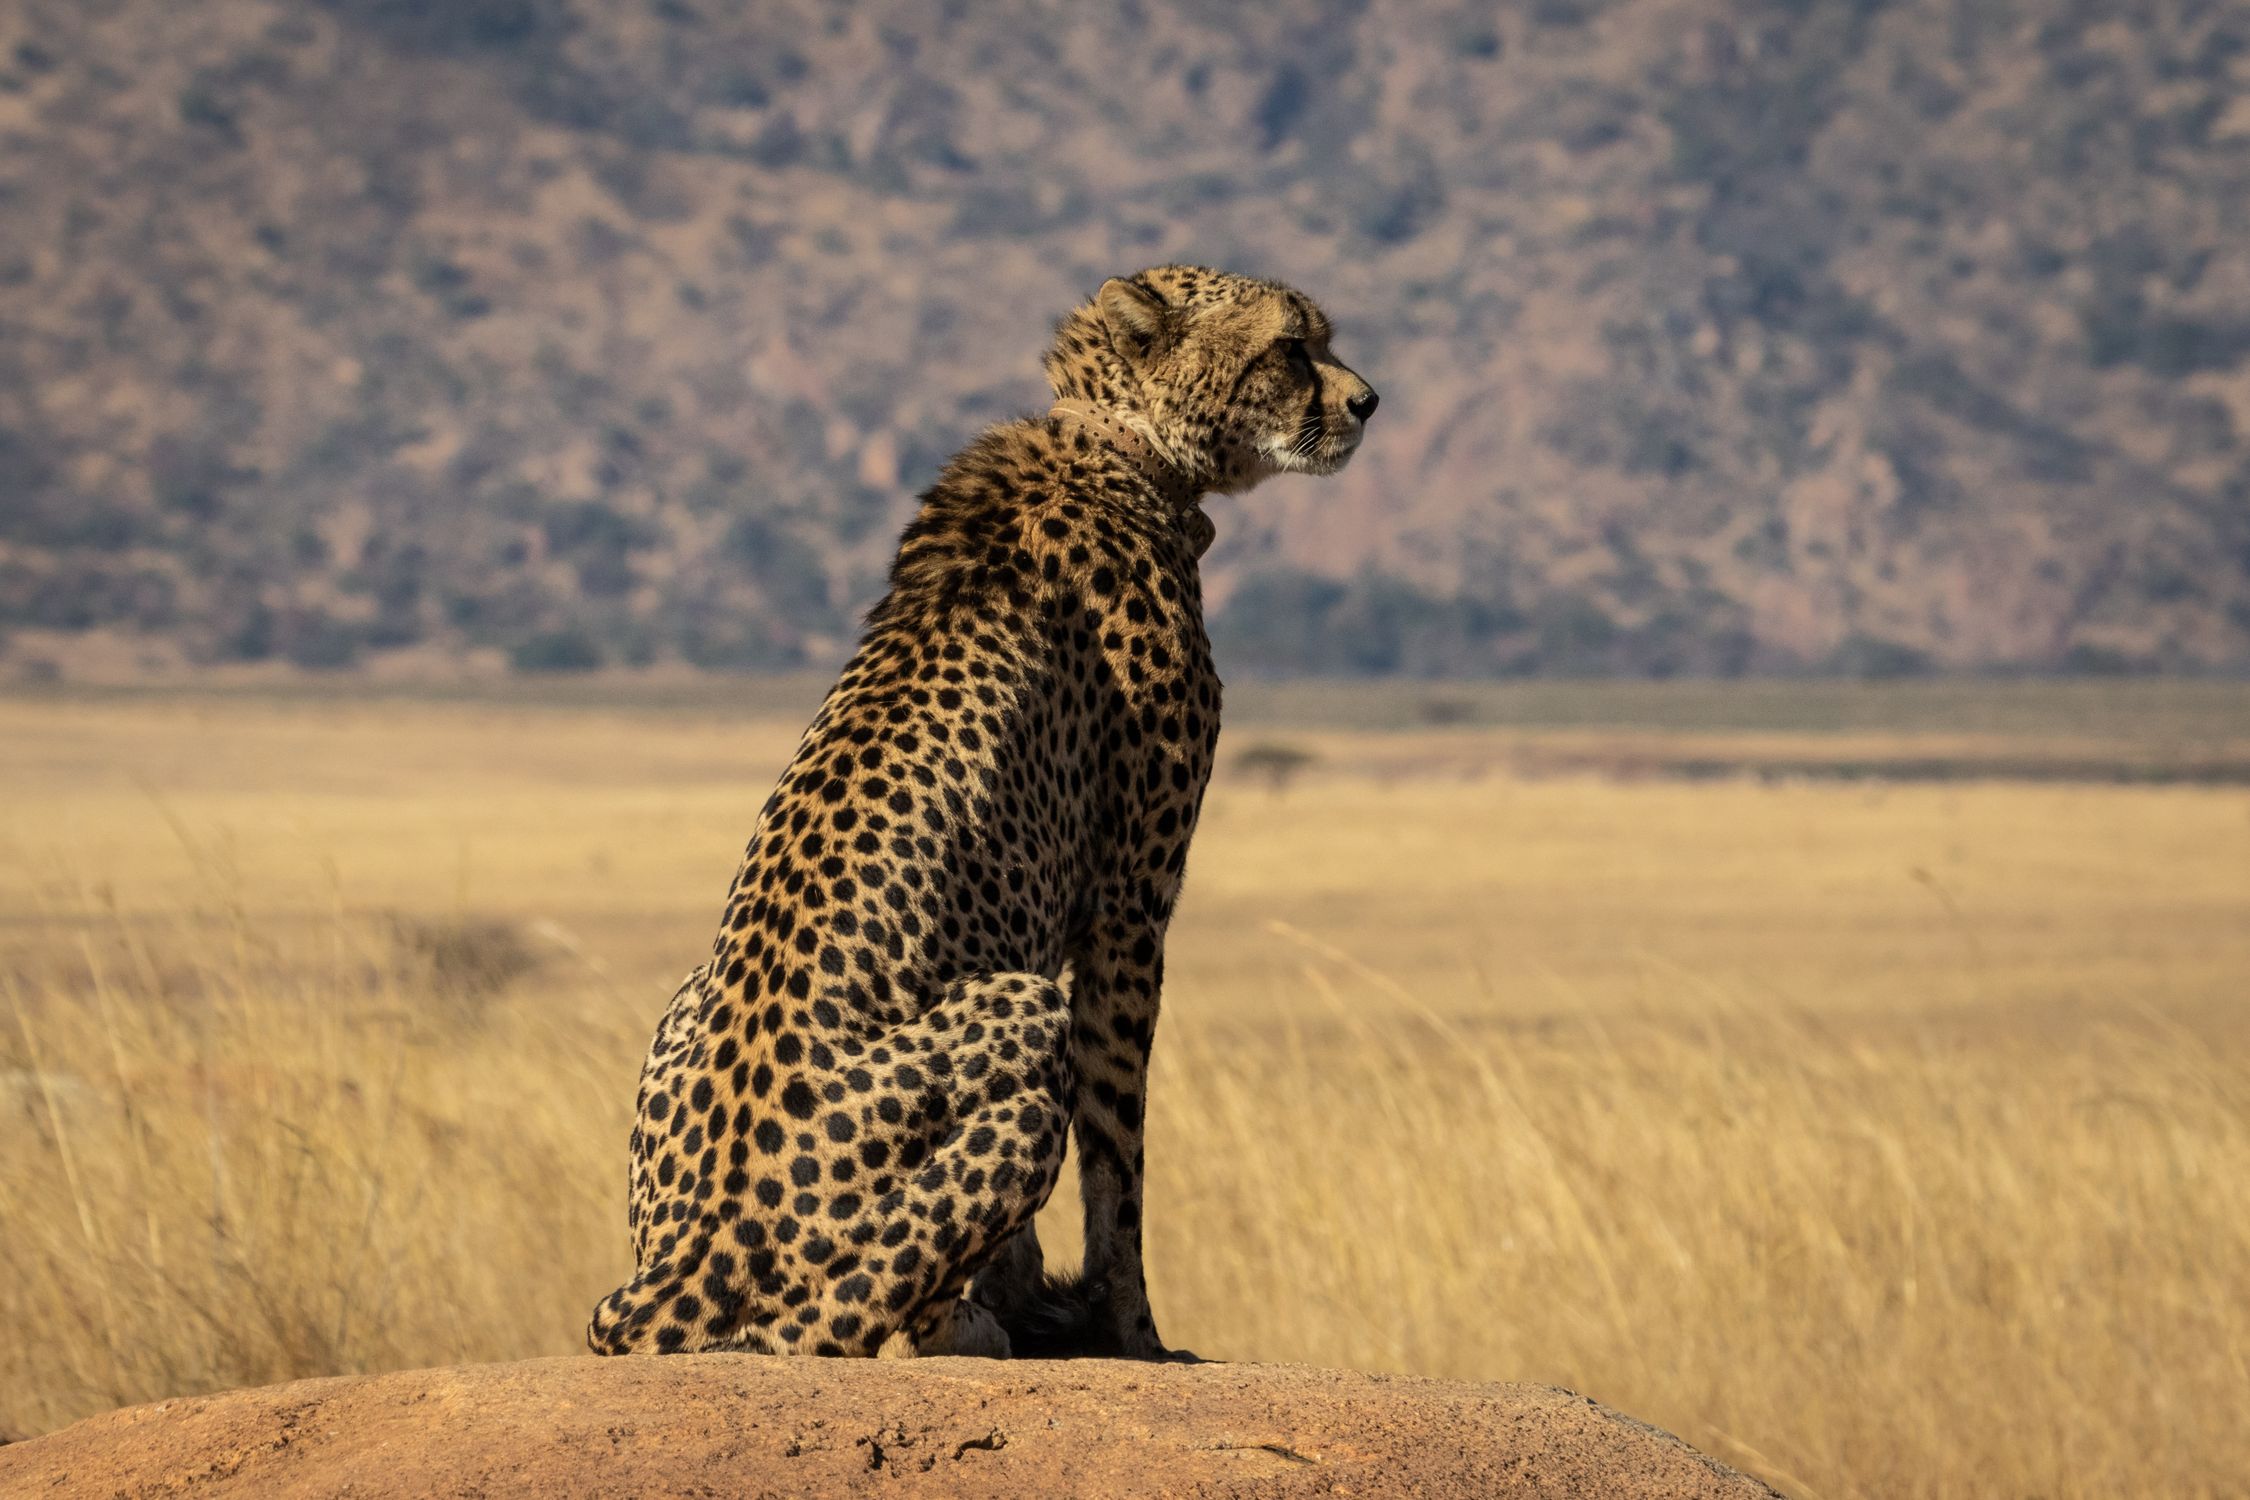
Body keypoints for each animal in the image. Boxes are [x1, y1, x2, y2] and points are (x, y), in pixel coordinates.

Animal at [586, 264, 1378, 1363]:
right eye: (1291, 347)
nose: (1366, 401)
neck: (1122, 450)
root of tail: (676, 1270)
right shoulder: (1131, 906)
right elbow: (1118, 1155)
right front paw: (1134, 1332)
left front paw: (1040, 1295)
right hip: (1018, 1006)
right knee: (846, 1331)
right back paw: (964, 1327)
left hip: (686, 995)